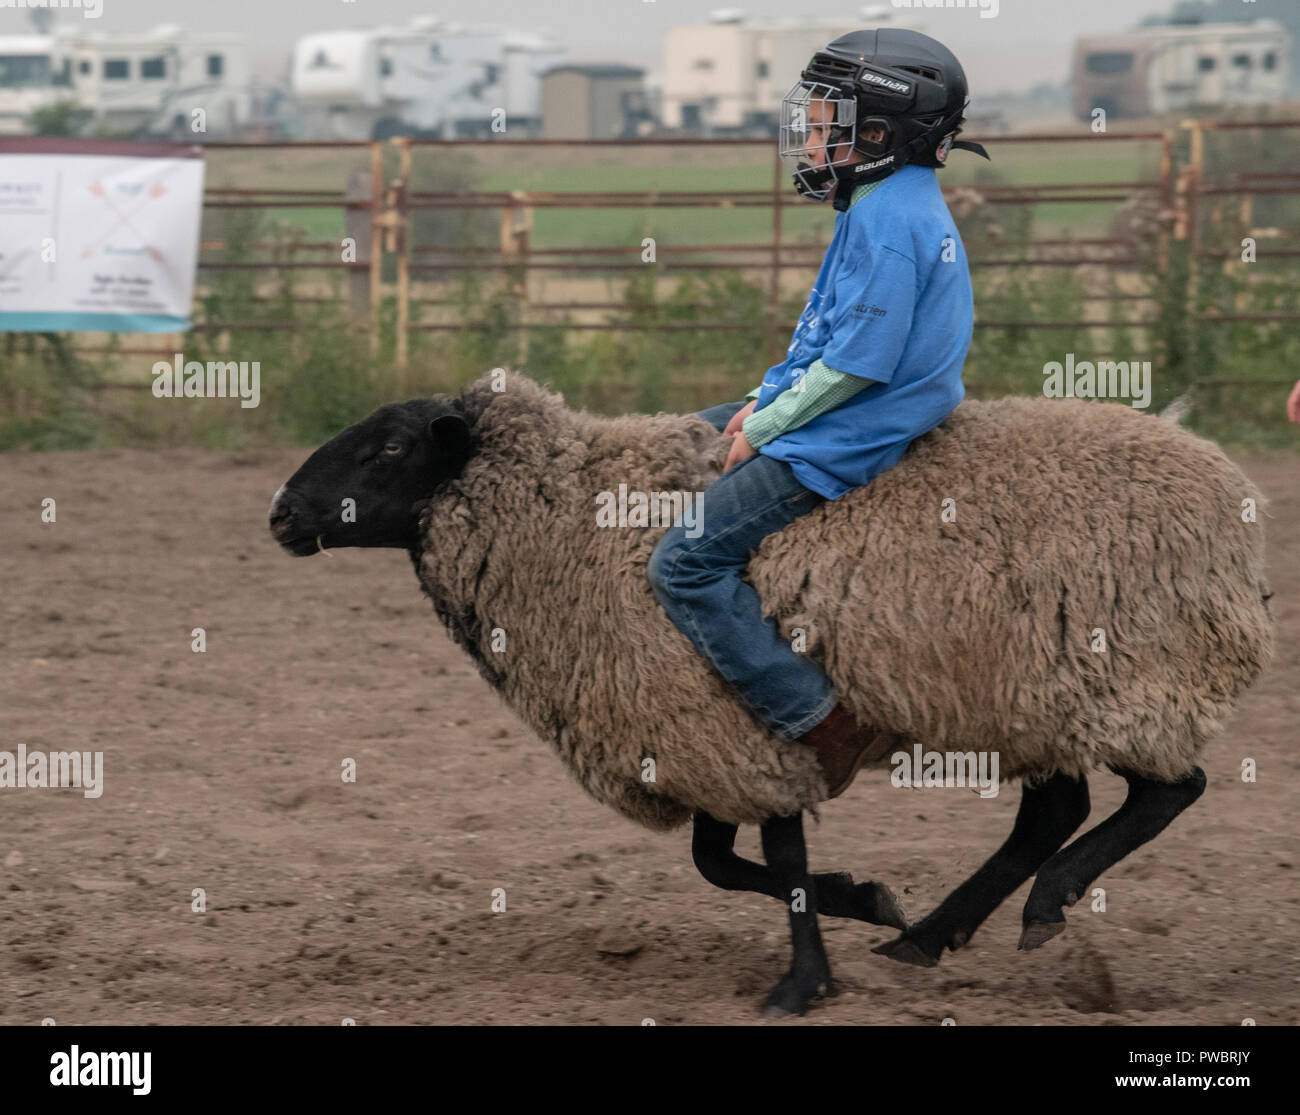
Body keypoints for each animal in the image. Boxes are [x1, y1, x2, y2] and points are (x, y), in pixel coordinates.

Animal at [269, 369, 1273, 1016]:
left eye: (389, 446)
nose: (280, 513)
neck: (573, 529)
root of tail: (1227, 496)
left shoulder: (739, 729)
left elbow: (772, 857)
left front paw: (801, 984)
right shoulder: (705, 739)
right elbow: (721, 863)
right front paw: (865, 900)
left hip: (1121, 674)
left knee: (1168, 791)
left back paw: (1047, 902)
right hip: (1025, 695)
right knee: (1055, 808)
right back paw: (928, 936)